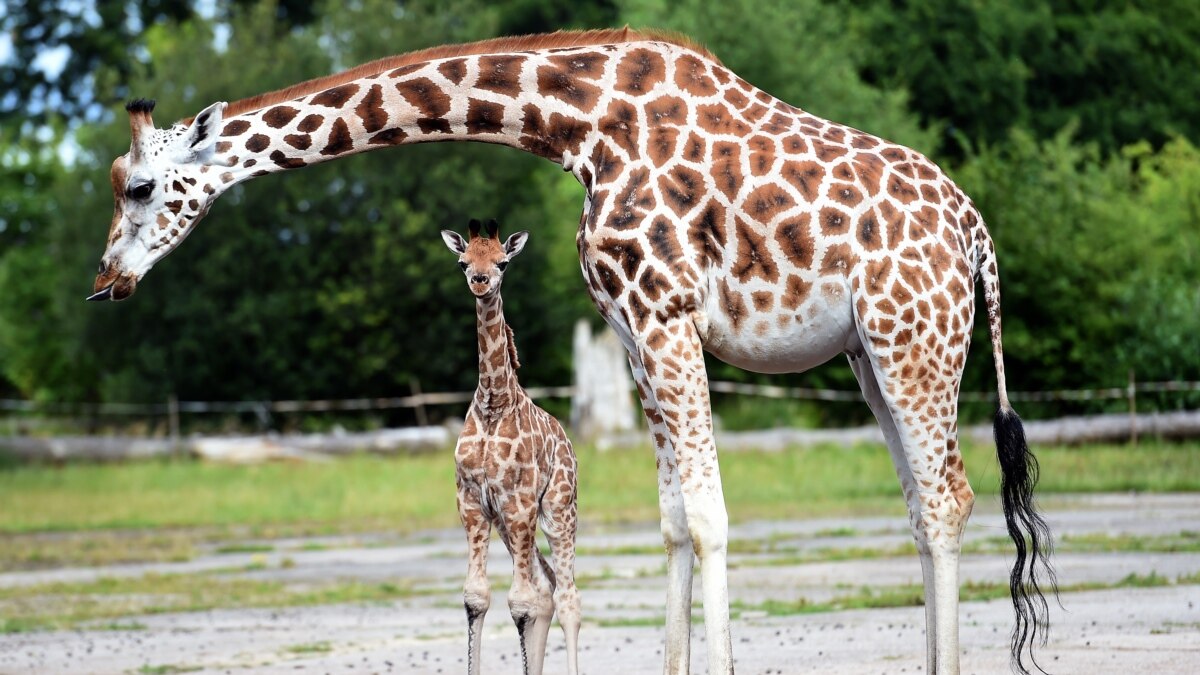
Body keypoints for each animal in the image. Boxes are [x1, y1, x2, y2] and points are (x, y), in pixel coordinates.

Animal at [441, 218, 581, 675]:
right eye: (463, 261)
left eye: (502, 262)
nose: (480, 281)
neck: (493, 403)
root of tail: (567, 441)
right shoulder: (472, 501)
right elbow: (476, 596)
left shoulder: (519, 503)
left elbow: (518, 601)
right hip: (508, 522)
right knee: (547, 588)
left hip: (557, 510)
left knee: (567, 597)